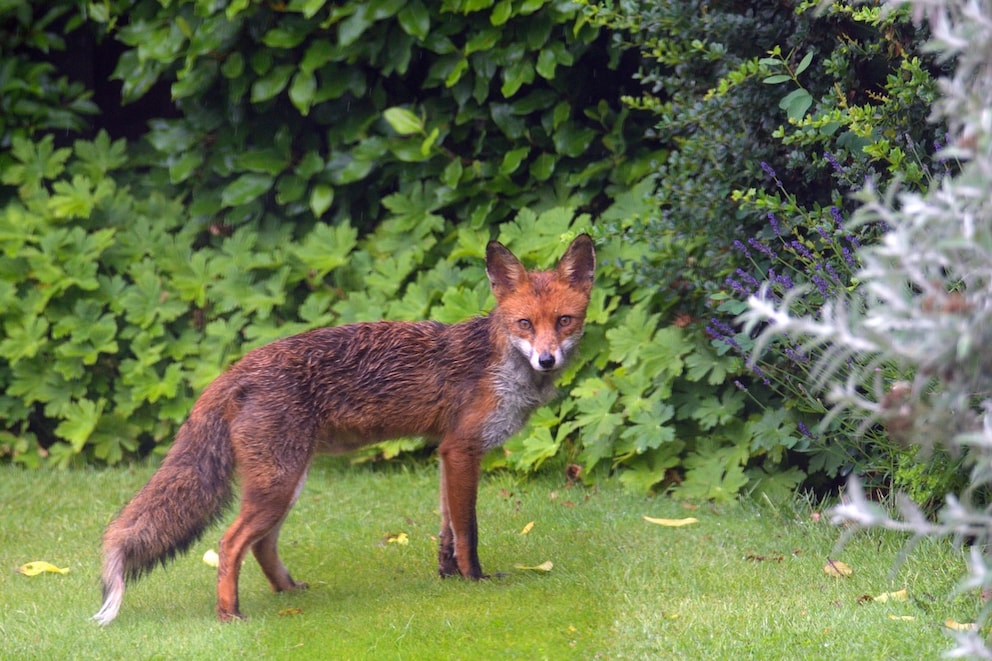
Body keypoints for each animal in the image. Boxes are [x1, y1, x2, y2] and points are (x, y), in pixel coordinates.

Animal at [93, 233, 595, 624]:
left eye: (564, 321)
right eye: (525, 323)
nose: (547, 359)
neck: (500, 361)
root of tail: (235, 369)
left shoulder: (445, 453)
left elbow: (446, 531)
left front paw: (447, 577)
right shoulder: (462, 449)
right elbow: (468, 530)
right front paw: (475, 580)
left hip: (285, 483)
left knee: (261, 544)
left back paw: (288, 592)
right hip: (277, 484)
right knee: (230, 542)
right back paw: (229, 614)